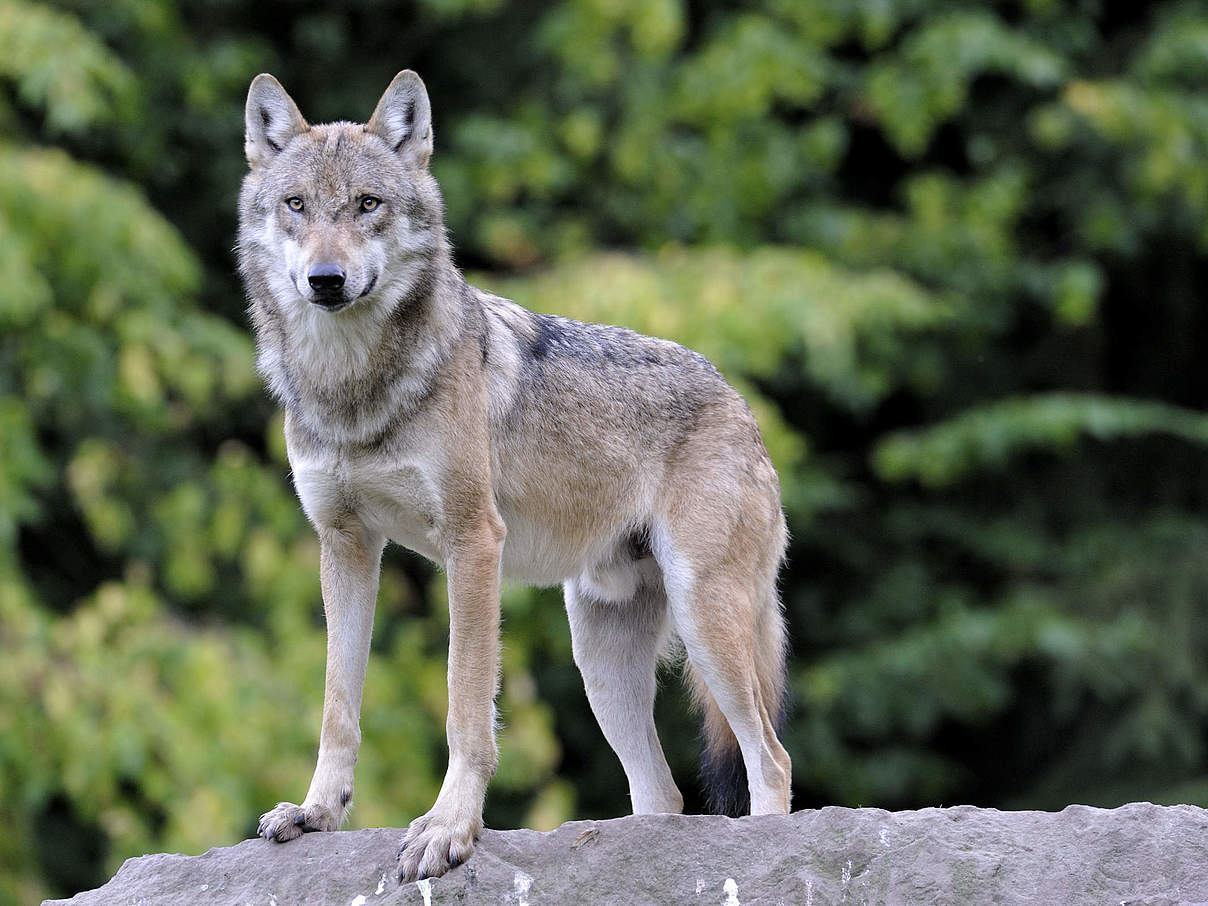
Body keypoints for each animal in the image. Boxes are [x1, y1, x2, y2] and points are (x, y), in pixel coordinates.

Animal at [237, 70, 792, 882]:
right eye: (297, 204)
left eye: (367, 204)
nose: (326, 279)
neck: (353, 389)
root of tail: (741, 404)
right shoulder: (344, 546)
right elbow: (339, 706)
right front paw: (316, 815)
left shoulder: (474, 544)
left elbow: (466, 708)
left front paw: (449, 830)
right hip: (600, 662)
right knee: (663, 796)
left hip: (706, 621)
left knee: (771, 760)